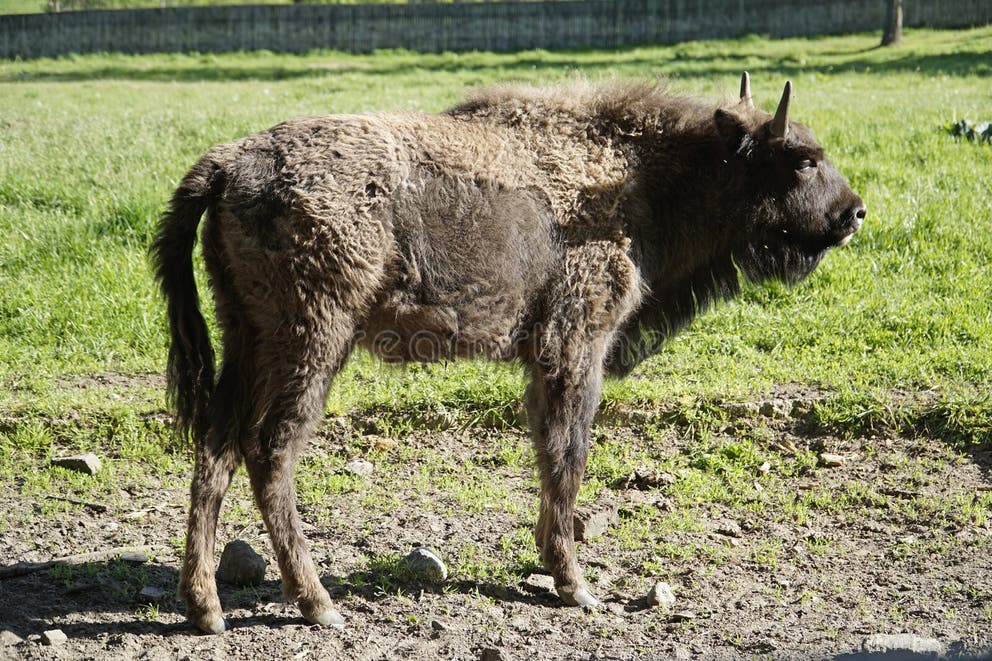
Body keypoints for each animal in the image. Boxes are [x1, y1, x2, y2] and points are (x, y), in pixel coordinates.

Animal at [152, 73, 865, 633]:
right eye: (801, 159)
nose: (854, 213)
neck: (642, 176)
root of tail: (230, 162)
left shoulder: (545, 363)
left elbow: (550, 457)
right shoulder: (576, 348)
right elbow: (567, 459)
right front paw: (577, 587)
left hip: (246, 337)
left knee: (215, 448)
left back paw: (205, 608)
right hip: (312, 341)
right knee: (270, 450)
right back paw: (318, 603)